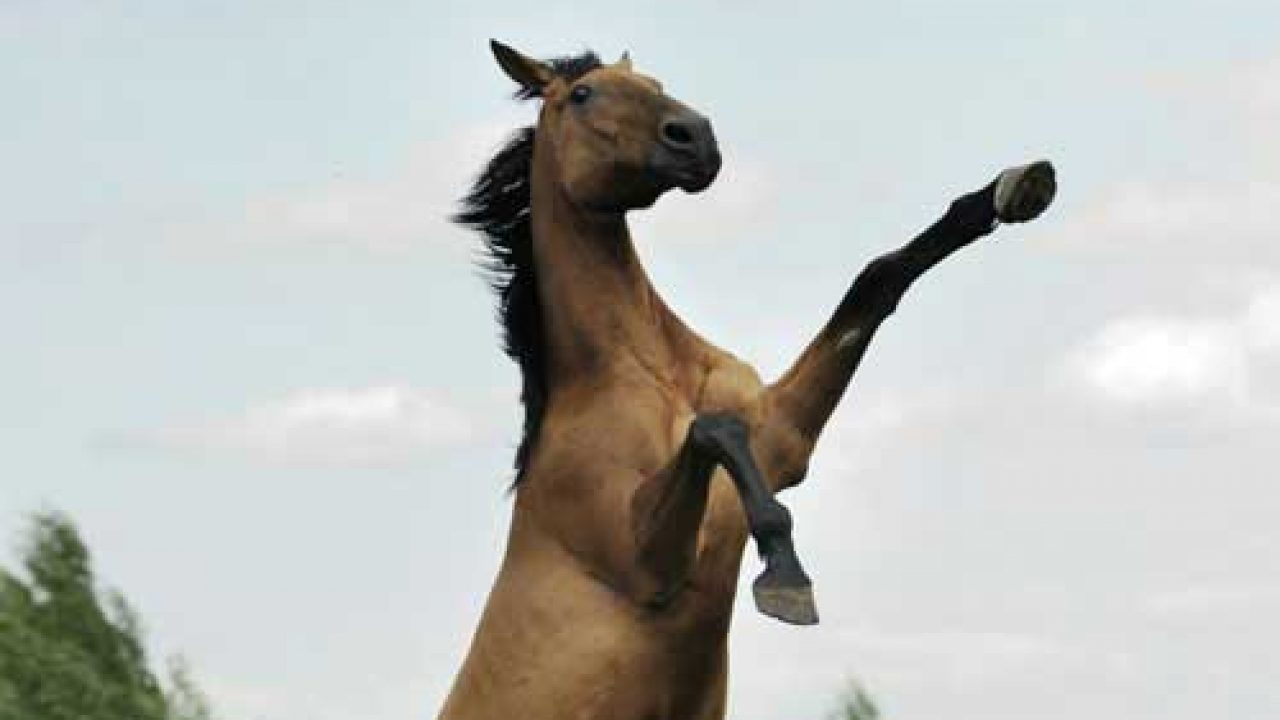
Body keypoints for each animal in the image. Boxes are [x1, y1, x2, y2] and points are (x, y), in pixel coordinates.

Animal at [438, 41, 1057, 720]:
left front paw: (1011, 190)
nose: (695, 139)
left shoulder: (784, 441)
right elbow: (714, 431)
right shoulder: (647, 563)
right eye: (582, 94)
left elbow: (878, 280)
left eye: (654, 81)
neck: (651, 371)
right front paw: (787, 578)